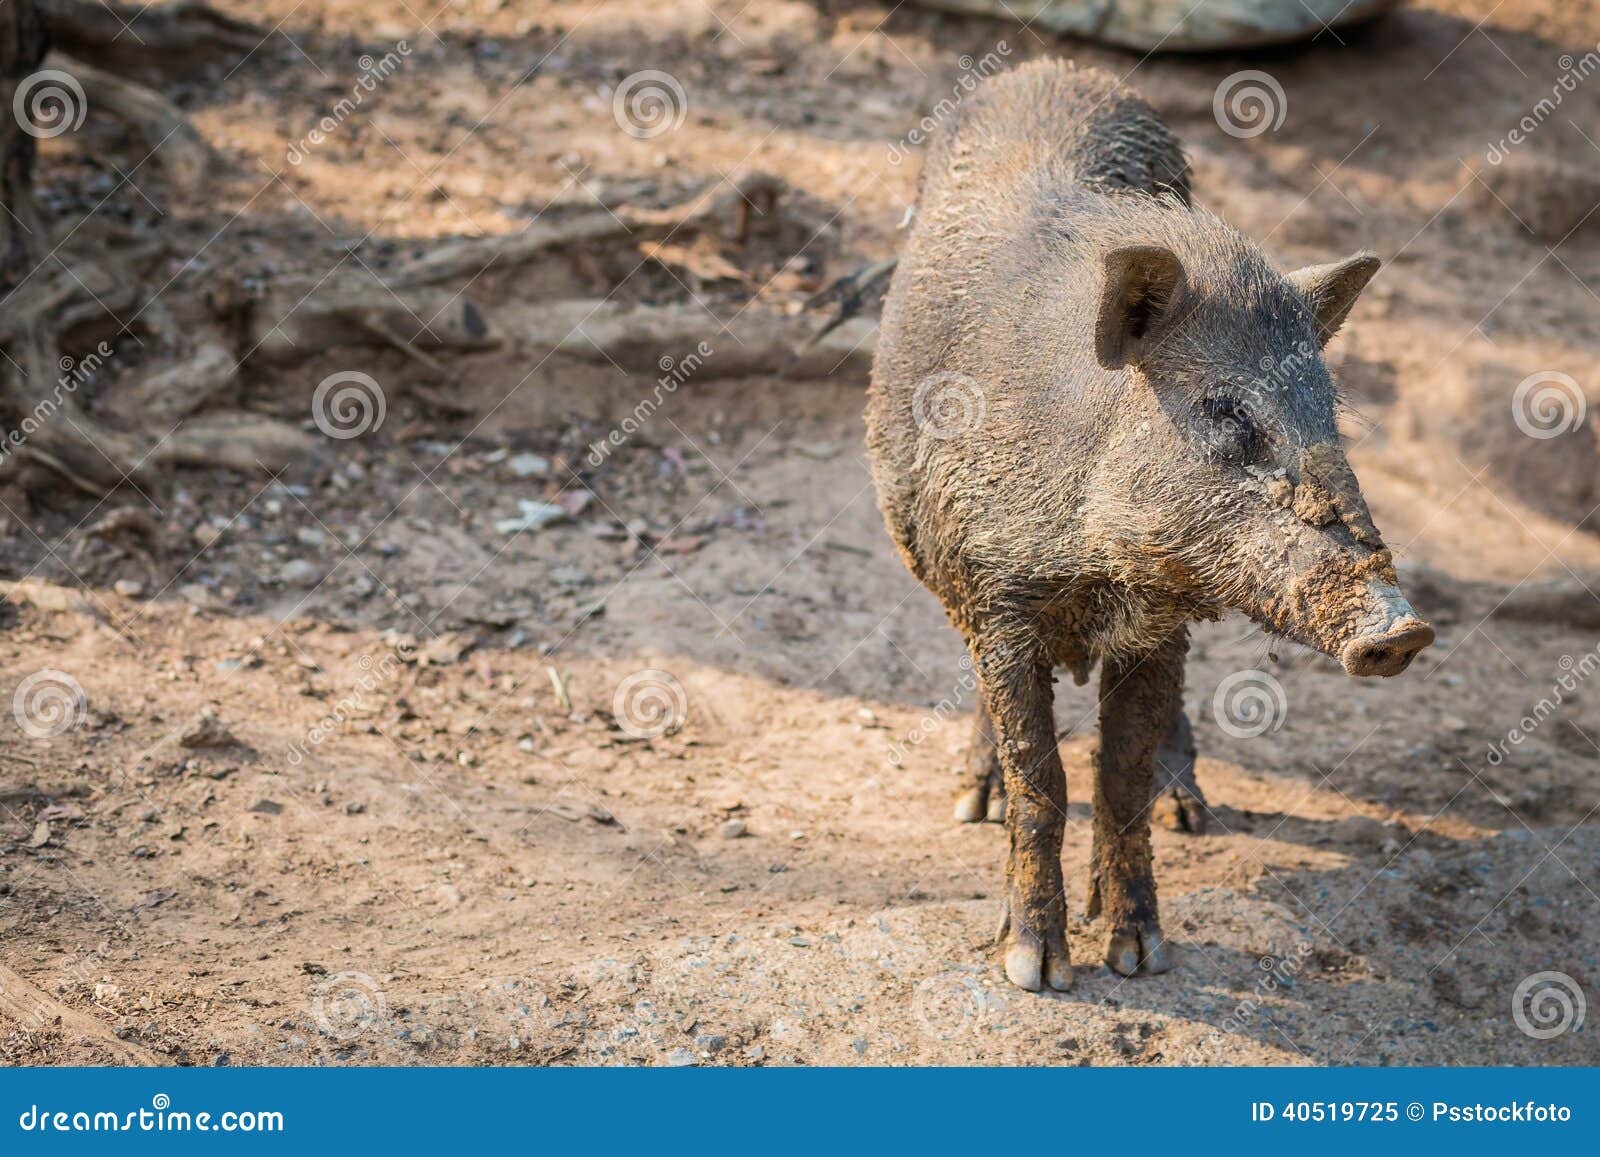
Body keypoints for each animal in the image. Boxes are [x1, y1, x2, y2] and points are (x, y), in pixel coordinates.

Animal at [866, 59, 1433, 992]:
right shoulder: (1000, 596)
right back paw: (973, 802)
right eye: (1224, 410)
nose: (1404, 630)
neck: (1097, 562)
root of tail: (1053, 68)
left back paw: (1189, 812)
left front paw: (1140, 956)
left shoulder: (1158, 623)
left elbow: (1121, 776)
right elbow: (1043, 778)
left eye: (1331, 409)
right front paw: (1037, 970)